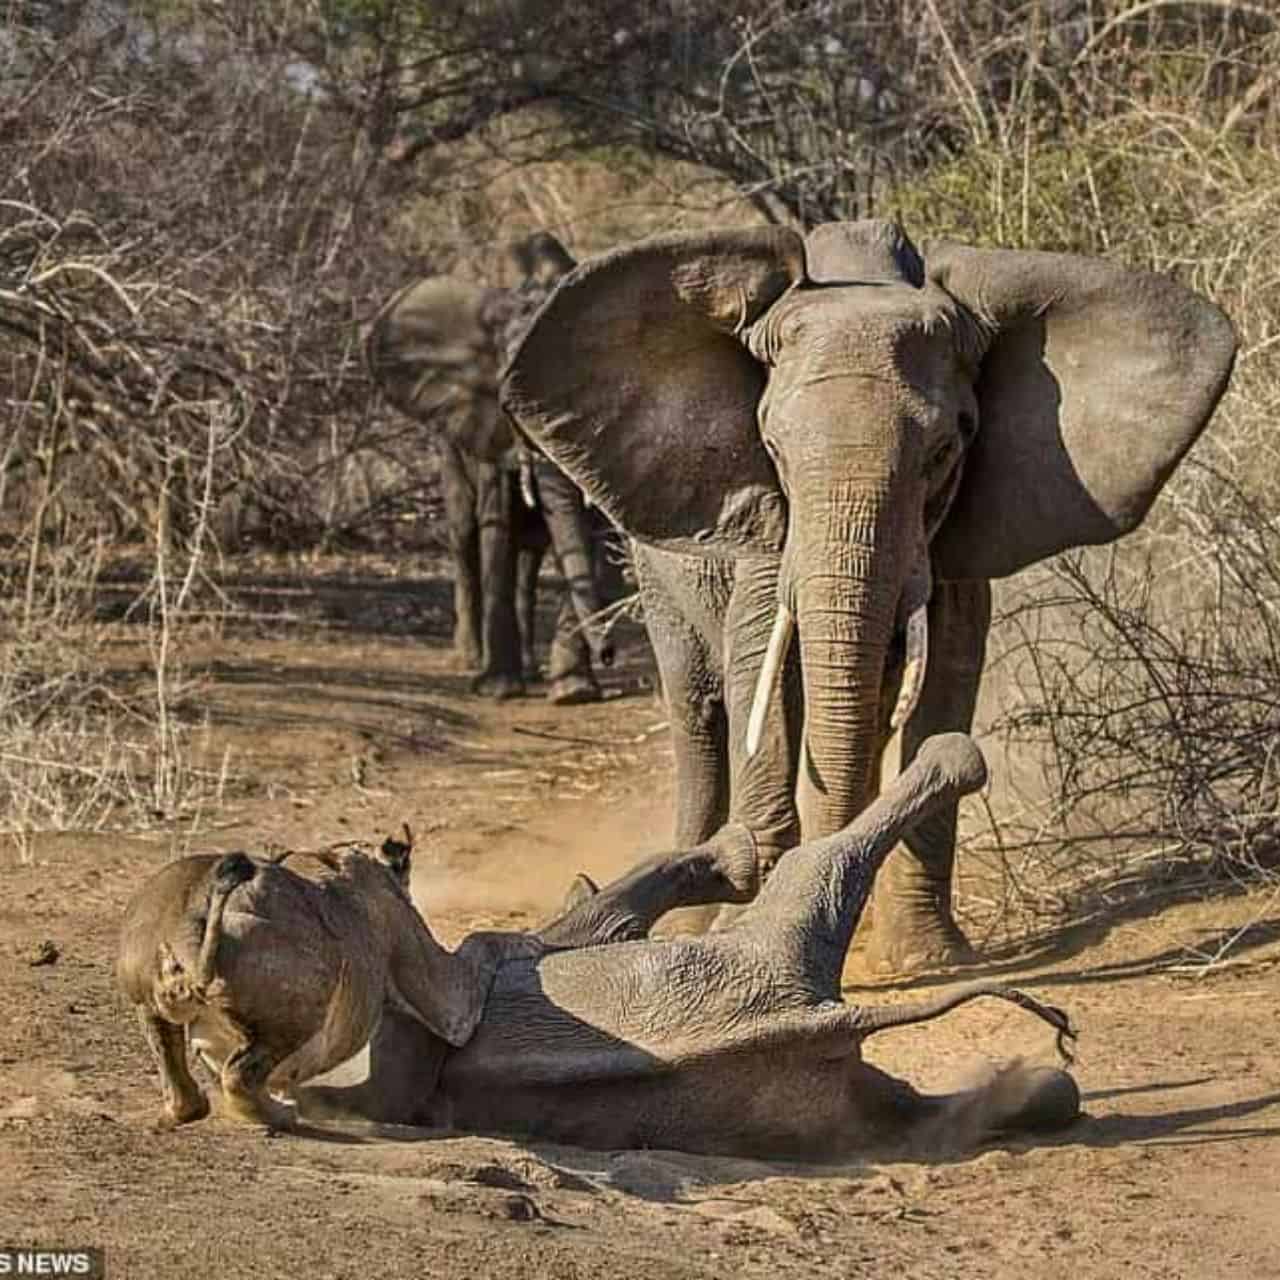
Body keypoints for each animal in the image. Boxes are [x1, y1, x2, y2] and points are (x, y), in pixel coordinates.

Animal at [367, 234, 613, 703]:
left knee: (530, 557)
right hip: (447, 446)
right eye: (510, 394)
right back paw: (469, 660)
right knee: (465, 532)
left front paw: (573, 692)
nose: (609, 654)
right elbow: (495, 525)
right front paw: (499, 689)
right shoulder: (484, 425)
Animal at [501, 219, 1238, 974]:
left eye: (945, 451)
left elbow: (947, 676)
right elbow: (759, 669)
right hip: (657, 575)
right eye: (772, 446)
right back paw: (692, 914)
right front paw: (741, 900)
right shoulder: (768, 527)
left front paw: (929, 960)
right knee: (698, 711)